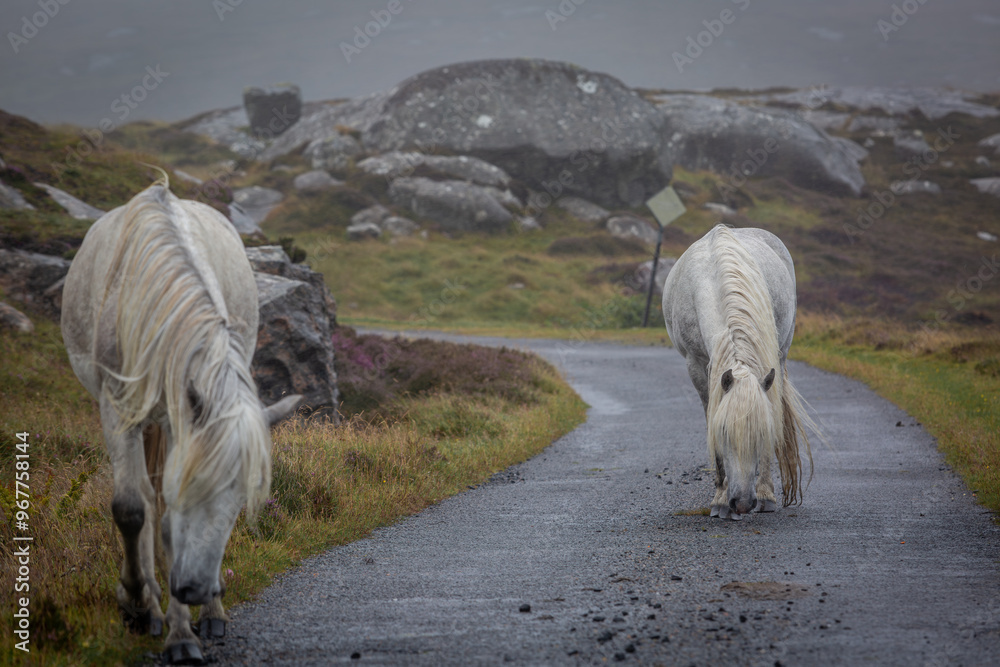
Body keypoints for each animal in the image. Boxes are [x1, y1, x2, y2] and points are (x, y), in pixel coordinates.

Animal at [61, 177, 301, 663]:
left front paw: (182, 632)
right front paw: (137, 605)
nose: (193, 588)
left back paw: (209, 613)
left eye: (240, 503)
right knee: (145, 498)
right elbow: (132, 508)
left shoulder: (178, 421)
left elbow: (168, 520)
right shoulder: (117, 409)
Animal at [661, 224, 816, 520]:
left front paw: (766, 496)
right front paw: (720, 500)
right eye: (724, 433)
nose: (742, 503)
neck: (714, 281)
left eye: (762, 433)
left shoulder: (768, 362)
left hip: (783, 353)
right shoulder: (696, 367)